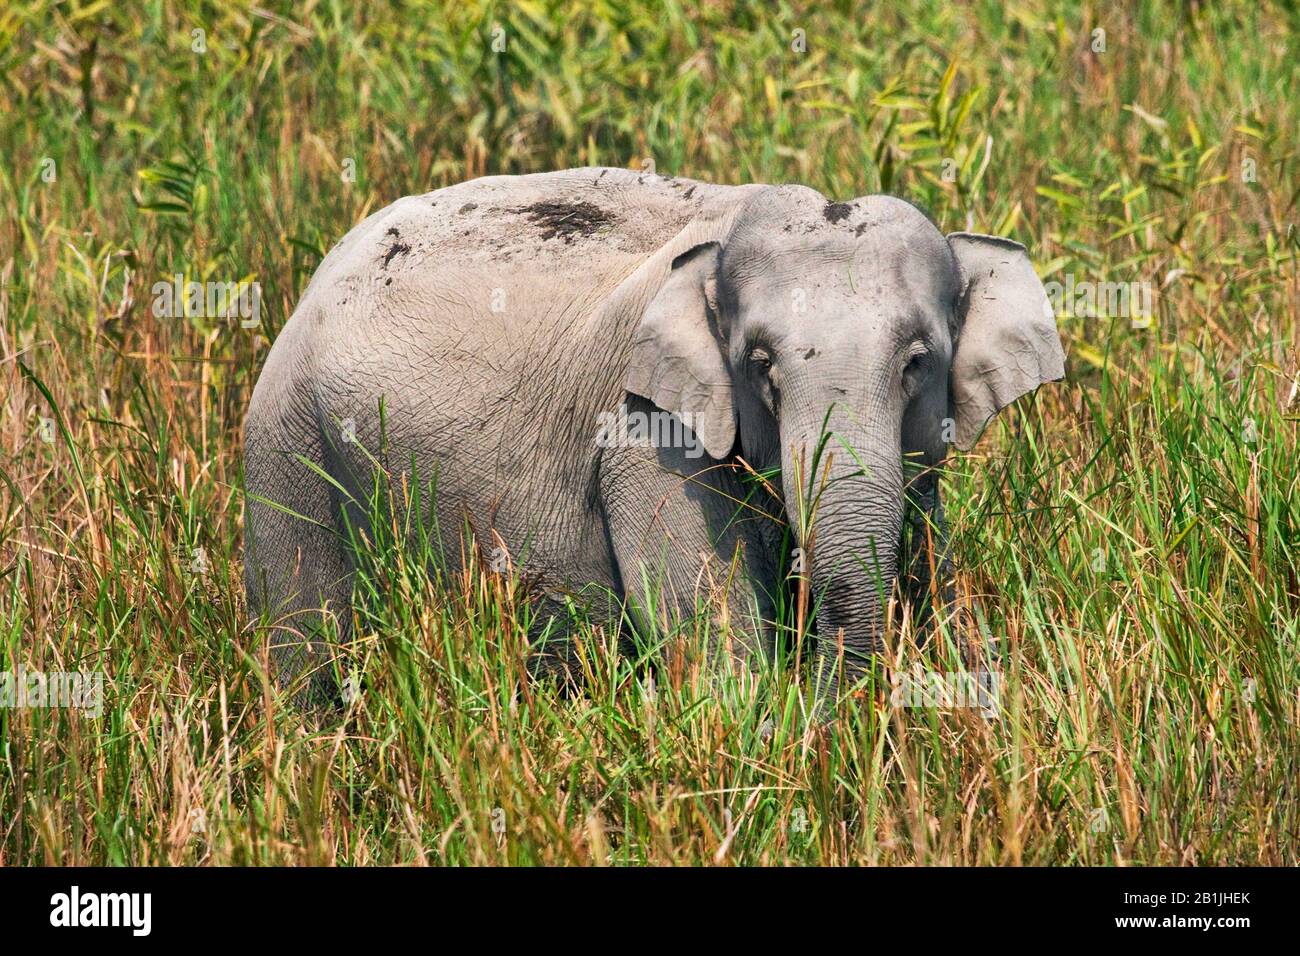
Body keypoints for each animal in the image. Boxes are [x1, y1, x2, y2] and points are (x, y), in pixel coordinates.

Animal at [242, 167, 1065, 708]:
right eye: (759, 365)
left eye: (916, 362)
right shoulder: (646, 435)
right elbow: (713, 648)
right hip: (286, 452)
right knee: (306, 654)